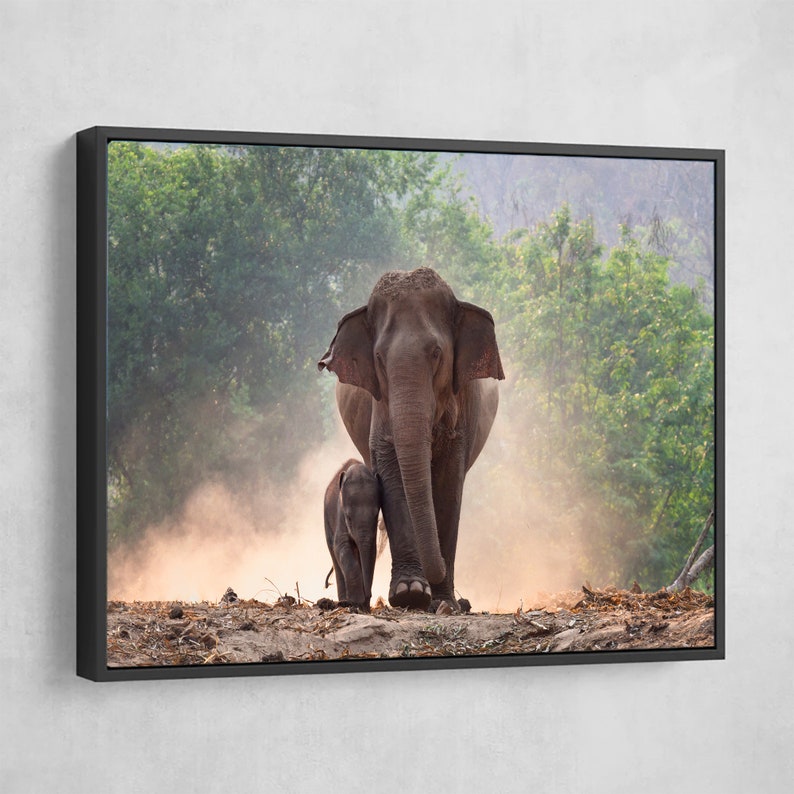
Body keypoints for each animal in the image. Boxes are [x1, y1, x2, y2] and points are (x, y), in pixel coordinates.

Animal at [323, 458, 381, 612]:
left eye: (376, 516)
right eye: (348, 517)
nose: (368, 595)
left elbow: (371, 552)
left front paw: (362, 604)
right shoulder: (339, 515)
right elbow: (341, 547)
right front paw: (357, 600)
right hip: (326, 519)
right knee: (333, 553)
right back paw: (344, 602)